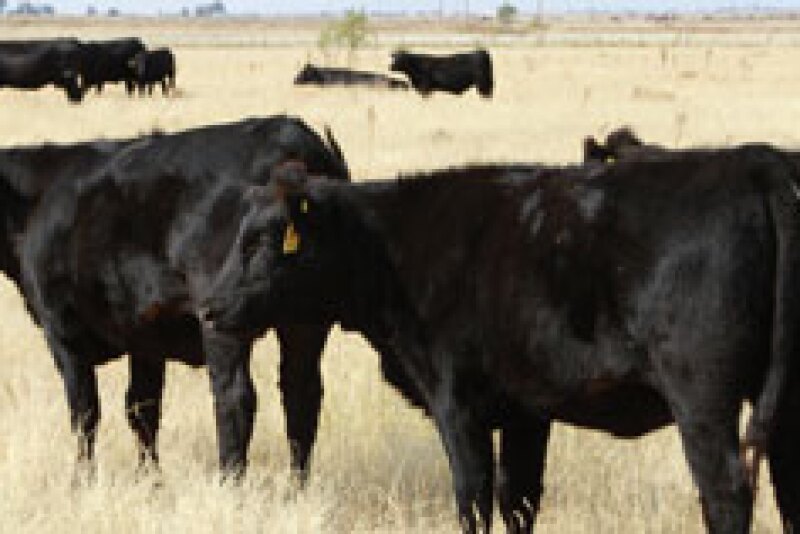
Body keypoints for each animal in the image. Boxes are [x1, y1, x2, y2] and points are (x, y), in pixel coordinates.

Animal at [13, 116, 349, 483]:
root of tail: (292, 138)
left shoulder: (61, 328)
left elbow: (84, 412)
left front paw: (82, 481)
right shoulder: (143, 336)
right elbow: (141, 407)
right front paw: (150, 480)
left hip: (223, 316)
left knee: (235, 397)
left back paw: (230, 483)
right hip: (306, 319)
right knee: (301, 392)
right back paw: (295, 488)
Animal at [200, 147, 800, 533]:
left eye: (264, 240)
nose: (208, 308)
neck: (393, 248)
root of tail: (756, 162)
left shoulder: (457, 401)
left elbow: (474, 501)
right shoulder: (525, 410)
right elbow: (520, 500)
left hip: (702, 396)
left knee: (725, 491)